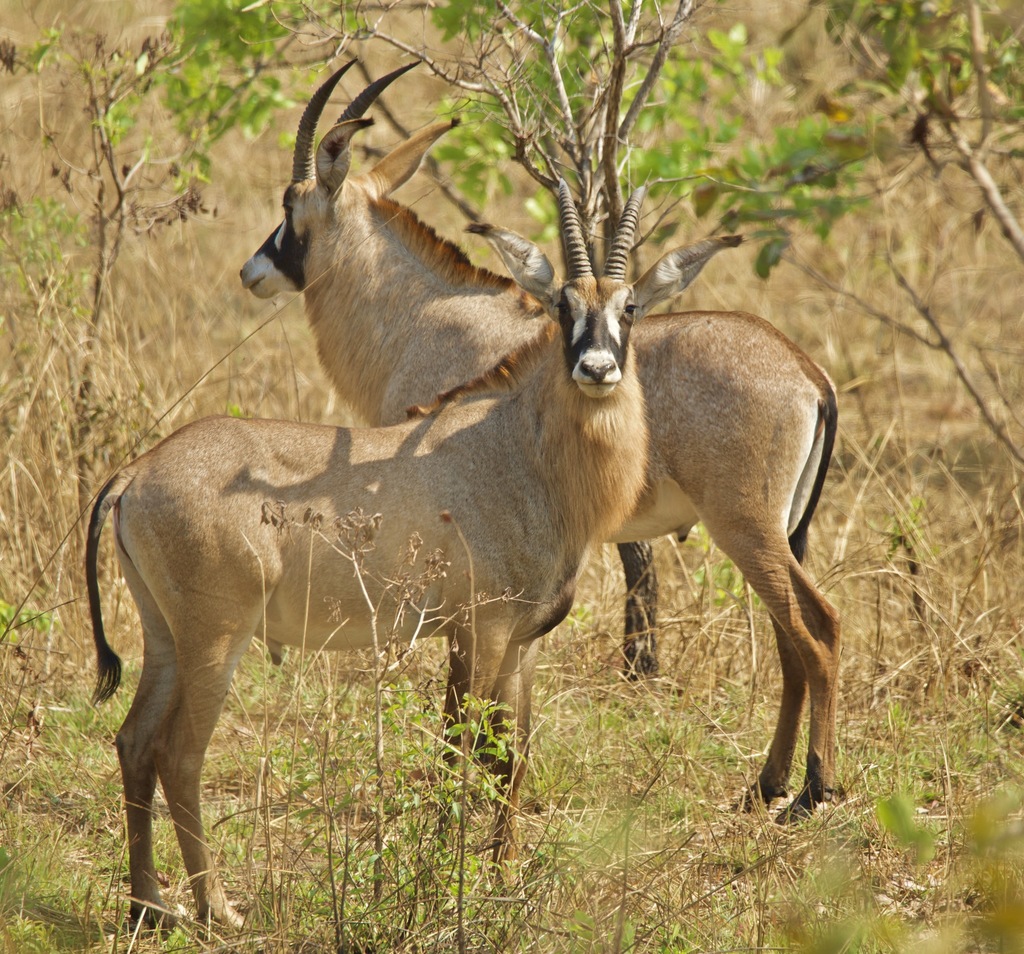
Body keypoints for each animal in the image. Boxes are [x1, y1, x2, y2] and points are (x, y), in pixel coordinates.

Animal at [88, 181, 743, 927]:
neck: (519, 447)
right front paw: (446, 880)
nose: (596, 369)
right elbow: (463, 750)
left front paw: (503, 880)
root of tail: (137, 473)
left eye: (629, 306)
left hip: (164, 636)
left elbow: (511, 755)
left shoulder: (518, 643)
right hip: (215, 639)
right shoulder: (481, 632)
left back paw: (147, 904)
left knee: (135, 742)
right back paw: (216, 909)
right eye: (562, 305)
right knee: (180, 754)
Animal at [240, 63, 842, 822]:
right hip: (783, 533)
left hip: (747, 527)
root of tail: (807, 372)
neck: (426, 315)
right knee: (793, 642)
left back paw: (813, 788)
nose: (252, 272)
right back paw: (766, 786)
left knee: (816, 630)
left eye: (291, 208)